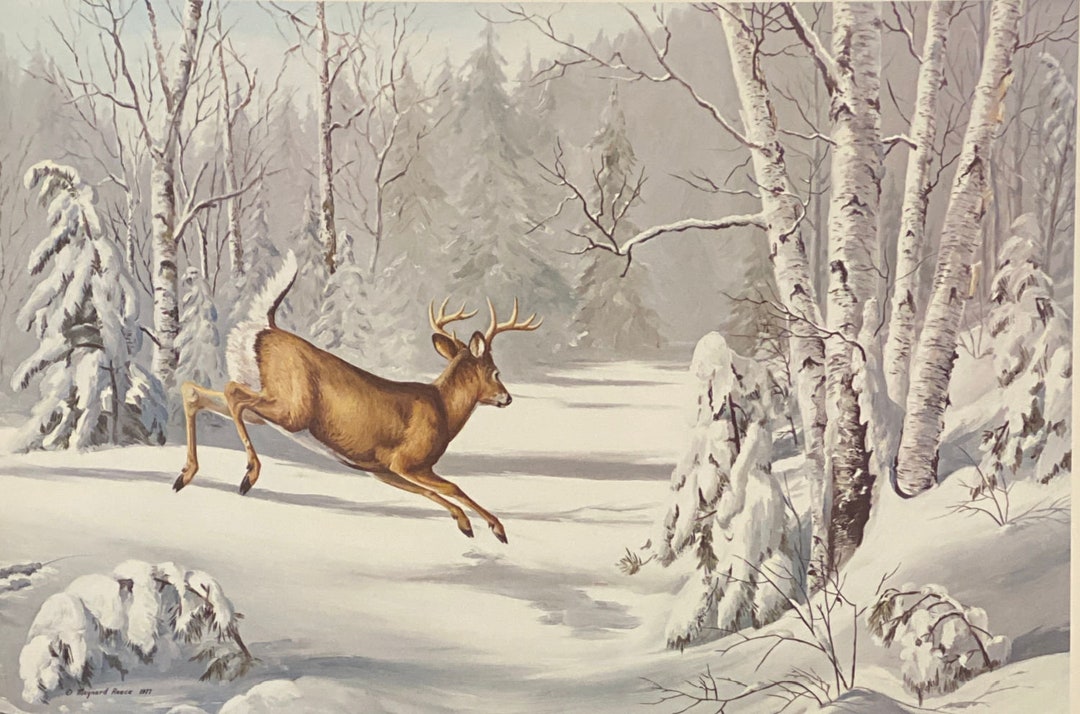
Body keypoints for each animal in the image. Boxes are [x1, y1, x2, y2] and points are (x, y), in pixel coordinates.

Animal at [173, 251, 541, 543]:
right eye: (495, 371)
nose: (506, 398)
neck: (444, 409)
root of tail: (264, 328)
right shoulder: (407, 460)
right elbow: (452, 487)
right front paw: (489, 527)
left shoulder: (383, 470)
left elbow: (433, 491)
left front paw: (470, 524)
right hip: (293, 407)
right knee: (232, 394)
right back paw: (249, 474)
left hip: (266, 405)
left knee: (195, 391)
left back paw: (184, 475)